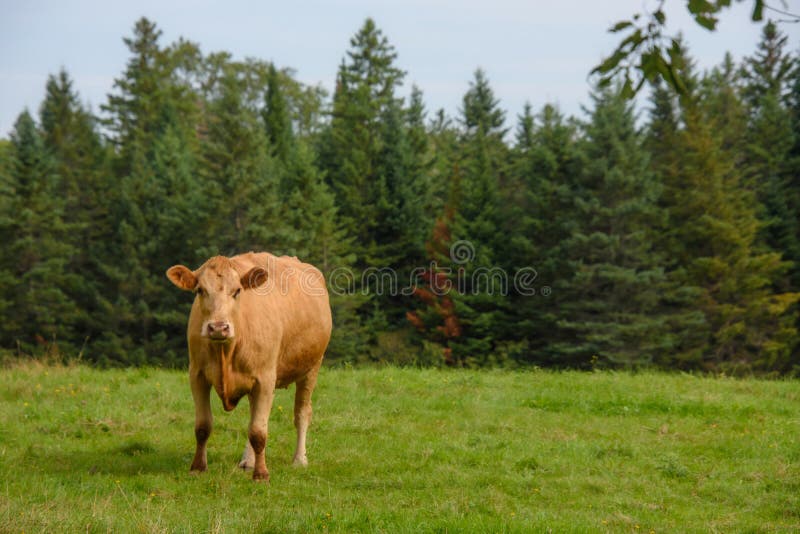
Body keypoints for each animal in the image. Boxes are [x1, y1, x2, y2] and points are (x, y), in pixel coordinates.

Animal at [166, 252, 332, 482]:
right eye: (200, 290)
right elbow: (203, 426)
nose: (218, 327)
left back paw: (299, 459)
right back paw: (248, 460)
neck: (225, 351)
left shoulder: (266, 379)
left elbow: (258, 431)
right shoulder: (197, 375)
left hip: (312, 367)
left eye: (237, 291)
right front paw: (198, 467)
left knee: (302, 413)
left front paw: (261, 474)